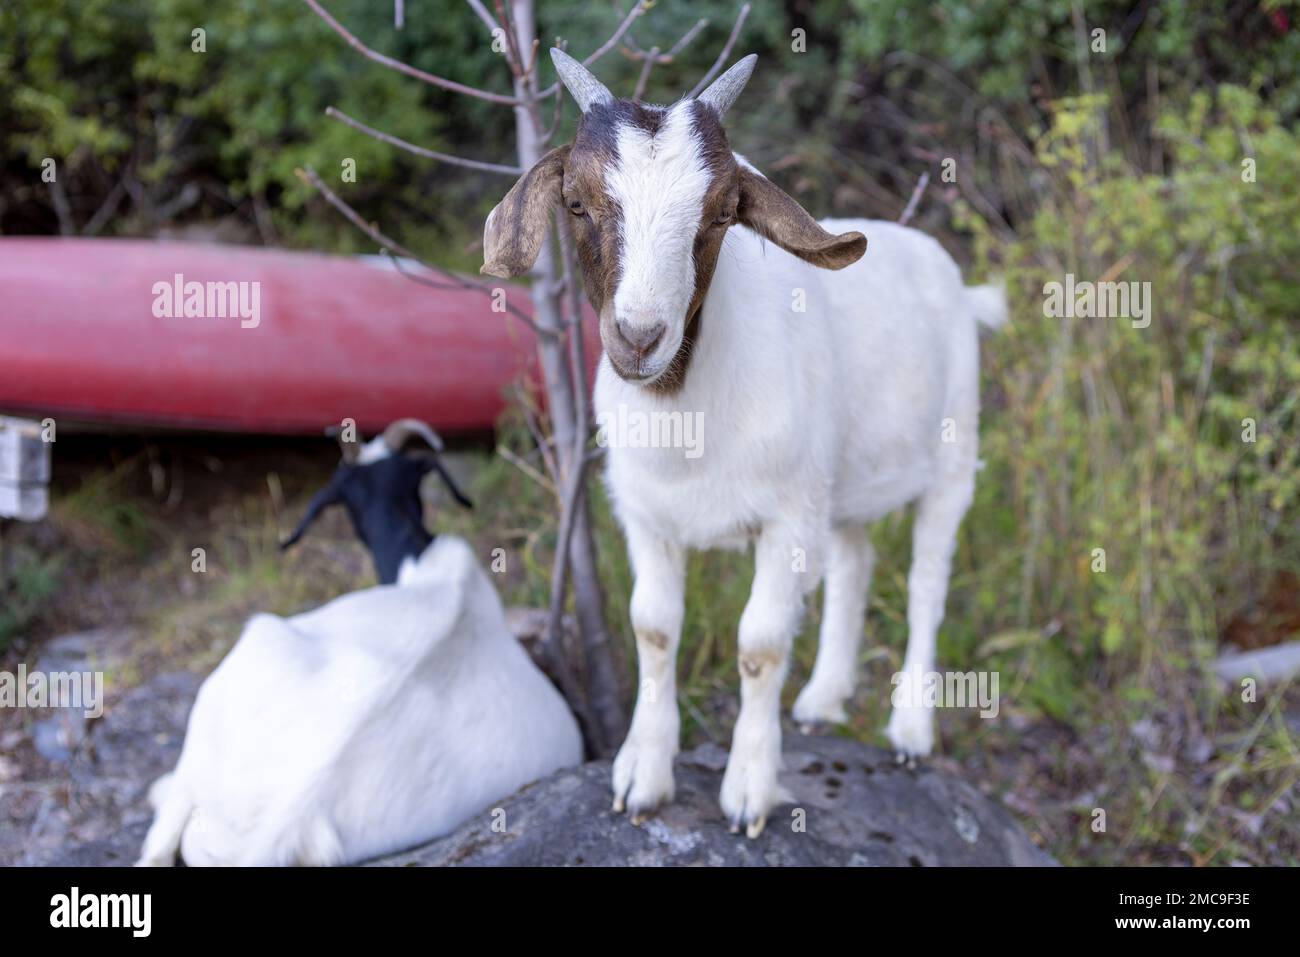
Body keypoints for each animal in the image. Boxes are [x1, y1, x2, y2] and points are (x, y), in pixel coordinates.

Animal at [483, 52, 1006, 838]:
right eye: (574, 201)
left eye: (724, 212)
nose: (638, 337)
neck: (685, 417)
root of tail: (951, 278)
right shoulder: (647, 516)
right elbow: (653, 629)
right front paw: (641, 777)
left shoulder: (787, 519)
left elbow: (759, 644)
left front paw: (750, 791)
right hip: (839, 483)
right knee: (856, 563)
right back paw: (822, 699)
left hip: (950, 458)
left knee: (925, 584)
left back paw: (911, 730)